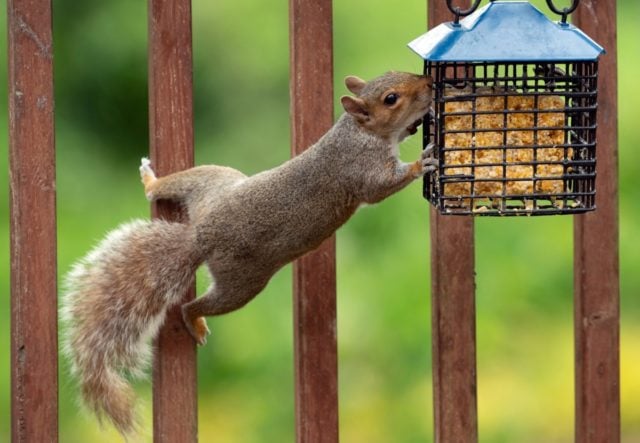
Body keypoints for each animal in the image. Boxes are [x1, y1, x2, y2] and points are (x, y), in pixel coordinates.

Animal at [61, 71, 435, 438]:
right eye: (391, 98)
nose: (429, 83)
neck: (358, 131)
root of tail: (200, 236)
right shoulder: (362, 169)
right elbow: (380, 188)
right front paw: (422, 162)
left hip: (212, 180)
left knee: (167, 189)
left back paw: (151, 181)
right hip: (242, 283)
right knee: (191, 306)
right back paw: (194, 321)